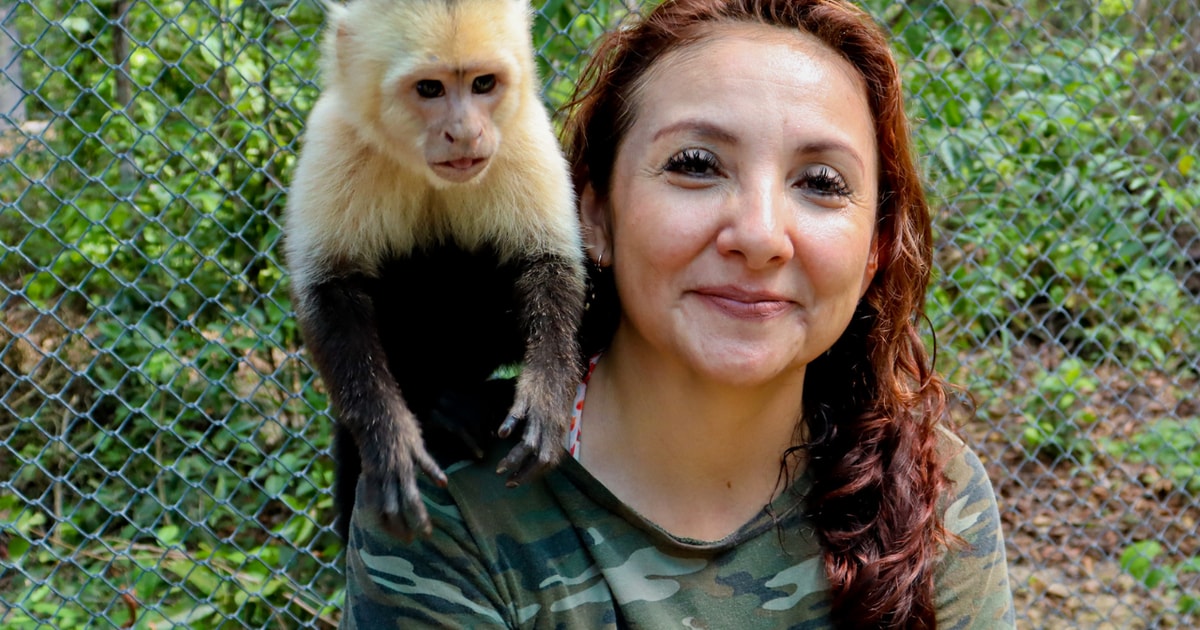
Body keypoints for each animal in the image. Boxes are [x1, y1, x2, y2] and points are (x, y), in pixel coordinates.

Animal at [282, 0, 585, 542]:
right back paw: (436, 404)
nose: (464, 133)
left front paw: (547, 392)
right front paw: (389, 439)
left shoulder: (522, 134)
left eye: (483, 84)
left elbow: (546, 262)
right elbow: (331, 290)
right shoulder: (336, 139)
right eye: (430, 89)